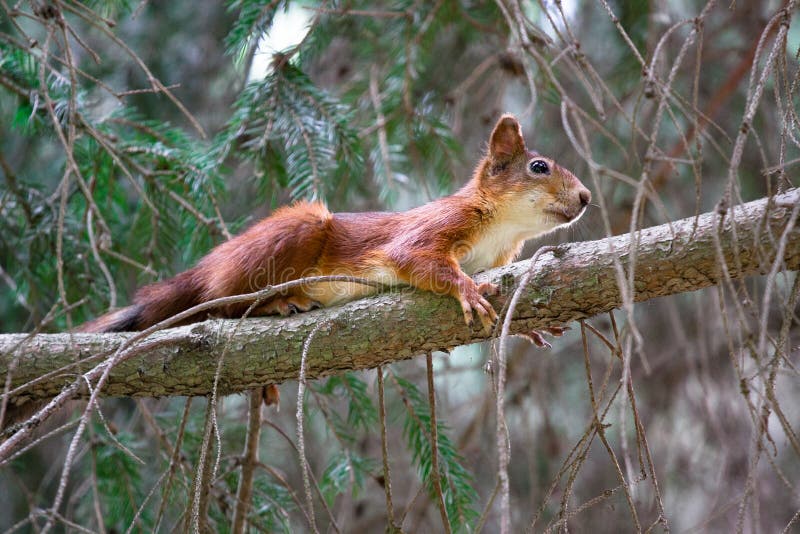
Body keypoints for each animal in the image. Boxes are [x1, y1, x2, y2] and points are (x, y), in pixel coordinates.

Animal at [79, 114, 590, 336]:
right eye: (539, 167)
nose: (586, 198)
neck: (502, 229)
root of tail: (207, 266)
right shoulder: (438, 224)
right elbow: (416, 257)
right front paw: (466, 289)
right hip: (292, 235)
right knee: (222, 303)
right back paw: (277, 303)